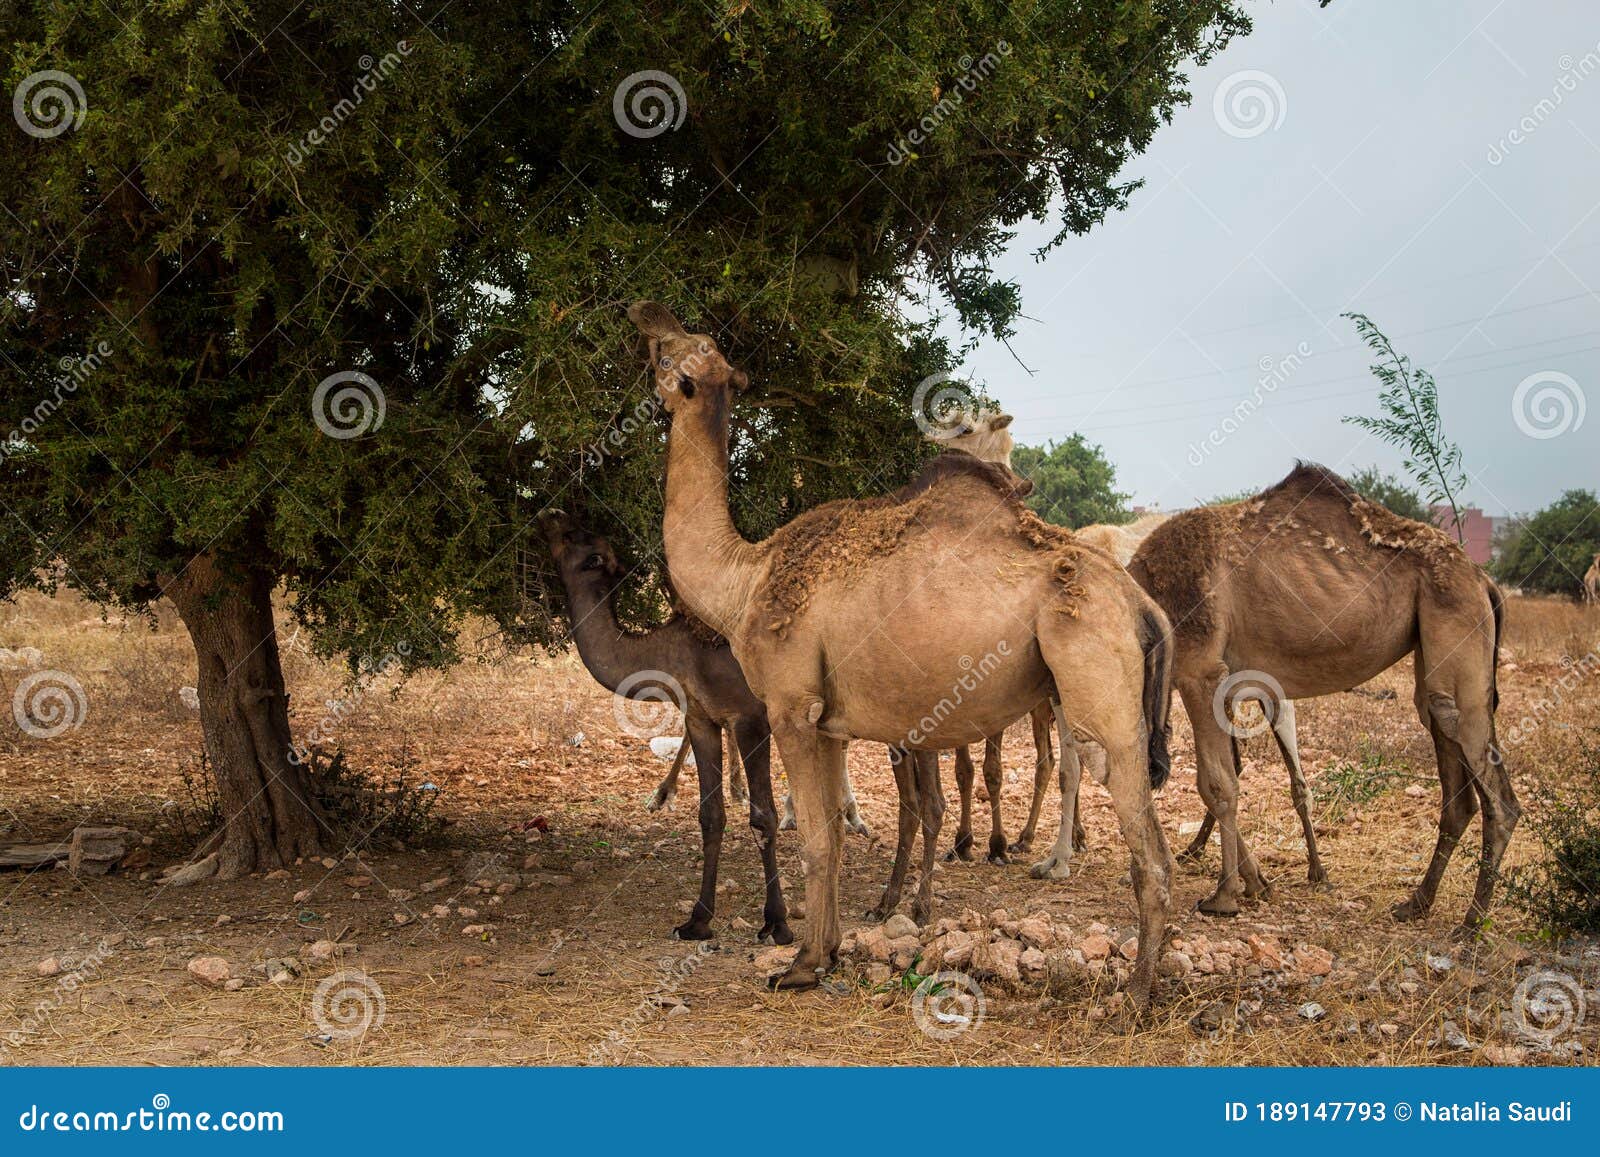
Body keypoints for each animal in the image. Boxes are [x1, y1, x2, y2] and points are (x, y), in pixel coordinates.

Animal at [542, 513, 791, 944]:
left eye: (576, 536)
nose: (551, 514)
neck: (671, 653)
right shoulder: (701, 717)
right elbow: (711, 816)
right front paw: (698, 921)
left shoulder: (749, 717)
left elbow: (763, 816)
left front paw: (777, 922)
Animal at [629, 301, 1177, 1006]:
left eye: (672, 352)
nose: (644, 315)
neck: (744, 578)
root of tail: (1140, 603)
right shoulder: (827, 724)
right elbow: (834, 832)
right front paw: (827, 952)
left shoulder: (790, 706)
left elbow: (813, 836)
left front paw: (797, 965)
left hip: (1101, 693)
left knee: (1144, 843)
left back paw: (1134, 992)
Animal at [1120, 463, 1515, 927]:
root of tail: (1484, 579)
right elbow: (1224, 778)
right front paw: (1258, 883)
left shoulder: (1201, 669)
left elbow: (1216, 784)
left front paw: (1224, 896)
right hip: (1432, 653)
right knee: (1452, 771)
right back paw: (1417, 903)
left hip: (1458, 622)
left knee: (1496, 792)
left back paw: (1473, 921)